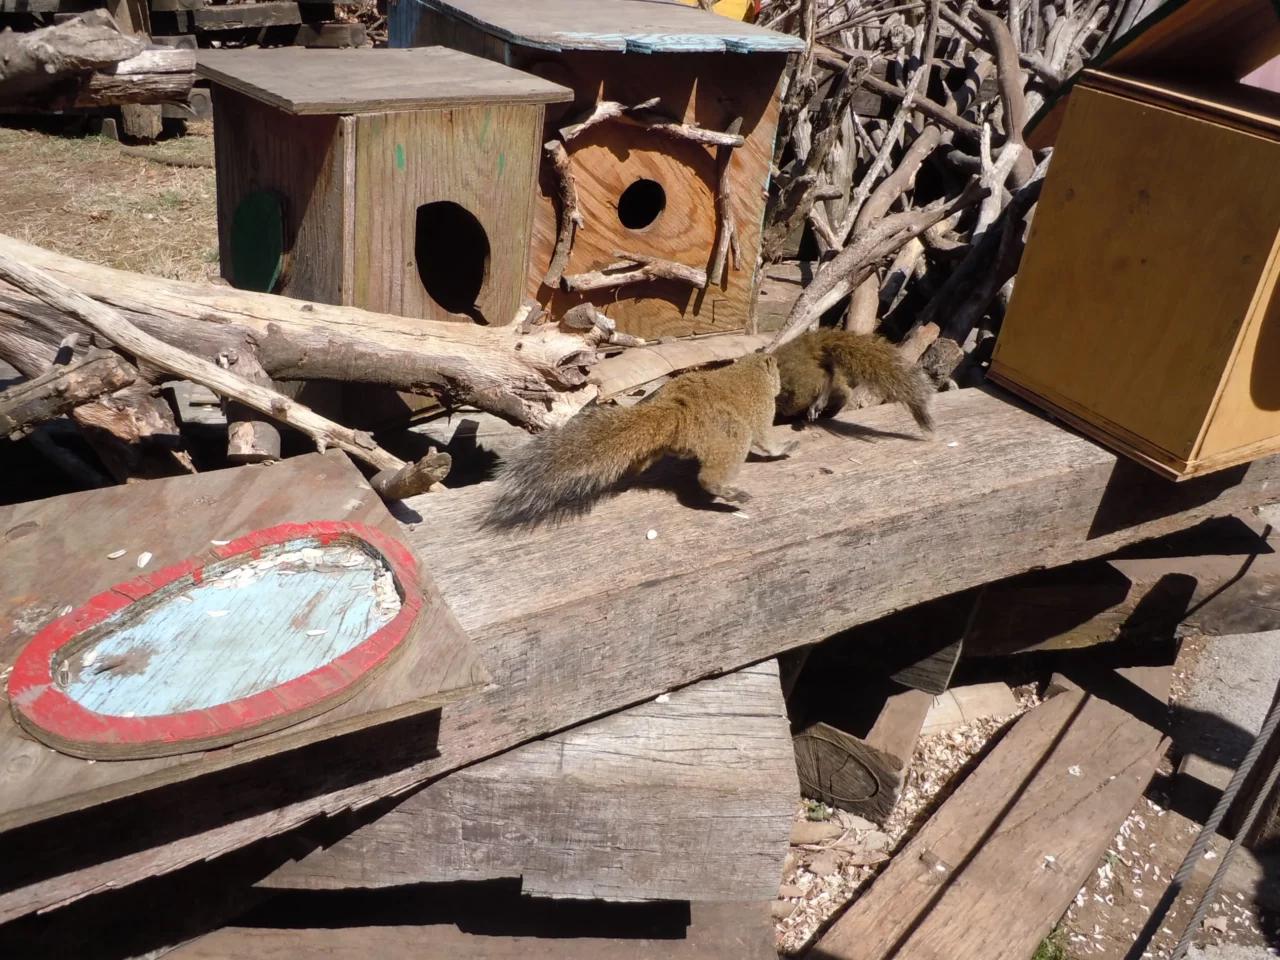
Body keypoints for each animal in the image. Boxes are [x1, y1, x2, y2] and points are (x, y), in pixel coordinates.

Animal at [488, 352, 797, 527]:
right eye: (779, 371)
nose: (782, 384)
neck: (749, 370)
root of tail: (676, 411)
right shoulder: (761, 411)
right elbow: (766, 441)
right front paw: (784, 448)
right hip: (730, 434)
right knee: (710, 476)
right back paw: (727, 491)